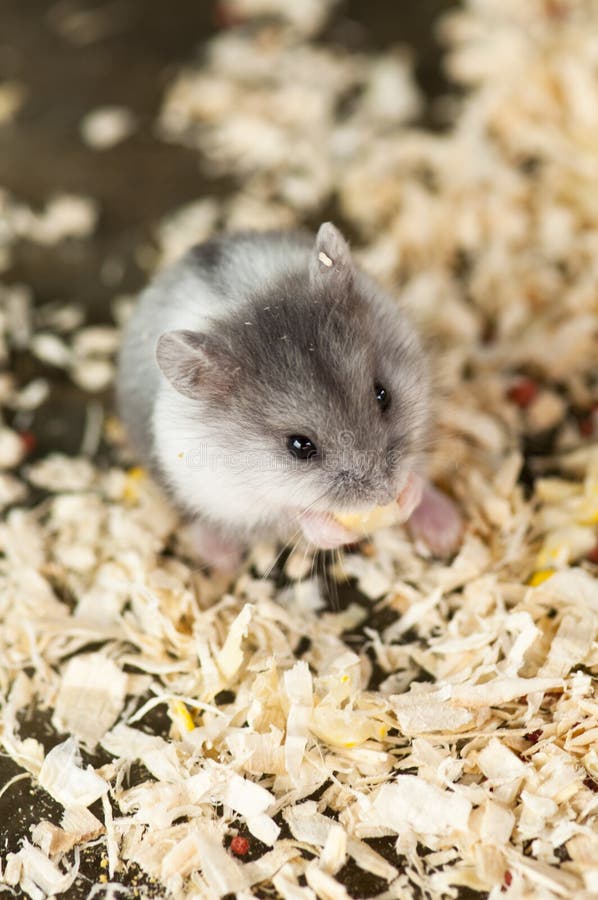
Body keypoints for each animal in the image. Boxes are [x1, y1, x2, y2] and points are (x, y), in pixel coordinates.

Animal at [117, 222, 460, 569]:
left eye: (382, 395)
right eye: (299, 446)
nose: (386, 496)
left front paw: (410, 495)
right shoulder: (237, 499)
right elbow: (293, 513)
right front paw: (339, 533)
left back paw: (446, 529)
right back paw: (222, 560)